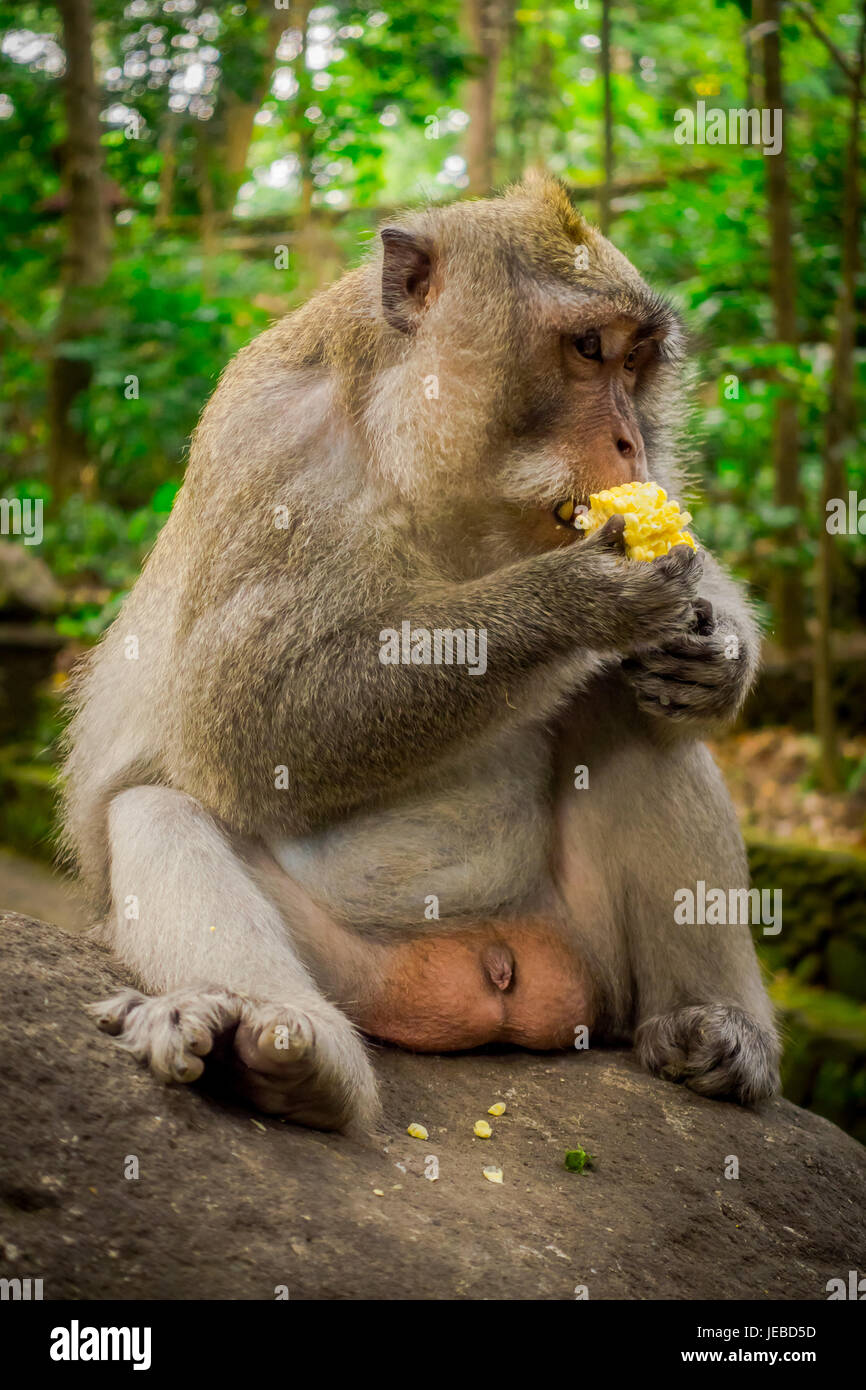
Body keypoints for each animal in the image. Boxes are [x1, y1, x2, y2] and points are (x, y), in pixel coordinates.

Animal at [61, 172, 779, 1132]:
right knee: (153, 810)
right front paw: (582, 599)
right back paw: (284, 1053)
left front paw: (719, 653)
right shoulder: (267, 441)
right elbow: (240, 728)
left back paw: (716, 1030)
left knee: (631, 716)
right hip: (355, 972)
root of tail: (496, 974)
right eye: (587, 348)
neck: (431, 463)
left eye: (636, 362)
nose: (631, 440)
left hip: (584, 951)